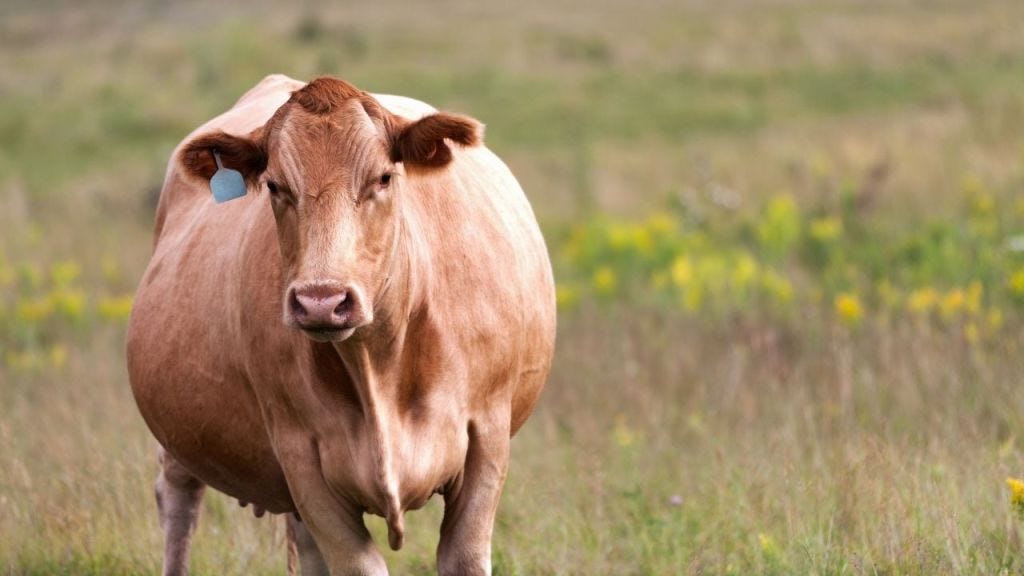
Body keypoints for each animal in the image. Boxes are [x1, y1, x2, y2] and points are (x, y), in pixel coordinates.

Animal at [126, 74, 556, 576]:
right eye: (275, 186)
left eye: (383, 178)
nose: (321, 302)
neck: (378, 364)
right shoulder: (302, 457)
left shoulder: (487, 438)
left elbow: (464, 556)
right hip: (178, 438)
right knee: (179, 502)